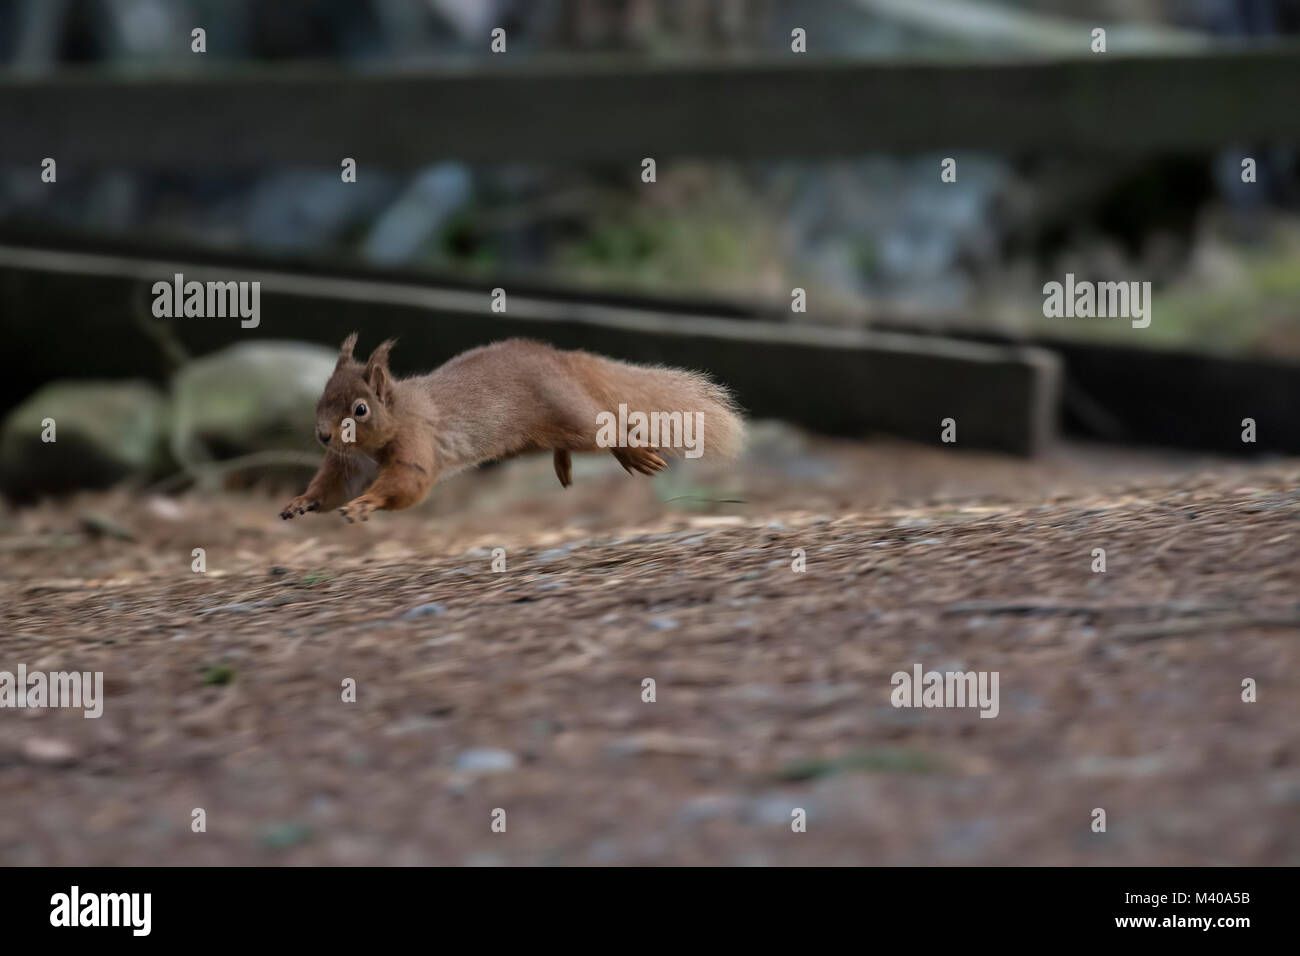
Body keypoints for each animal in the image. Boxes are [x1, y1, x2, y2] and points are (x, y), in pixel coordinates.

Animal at [280, 333, 745, 522]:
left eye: (360, 409)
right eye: (322, 397)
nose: (323, 435)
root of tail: (559, 359)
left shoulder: (417, 442)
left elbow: (408, 483)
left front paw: (365, 505)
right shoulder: (349, 463)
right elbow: (331, 487)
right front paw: (301, 501)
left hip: (569, 415)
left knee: (606, 429)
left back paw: (632, 452)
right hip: (524, 439)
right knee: (563, 443)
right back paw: (563, 466)